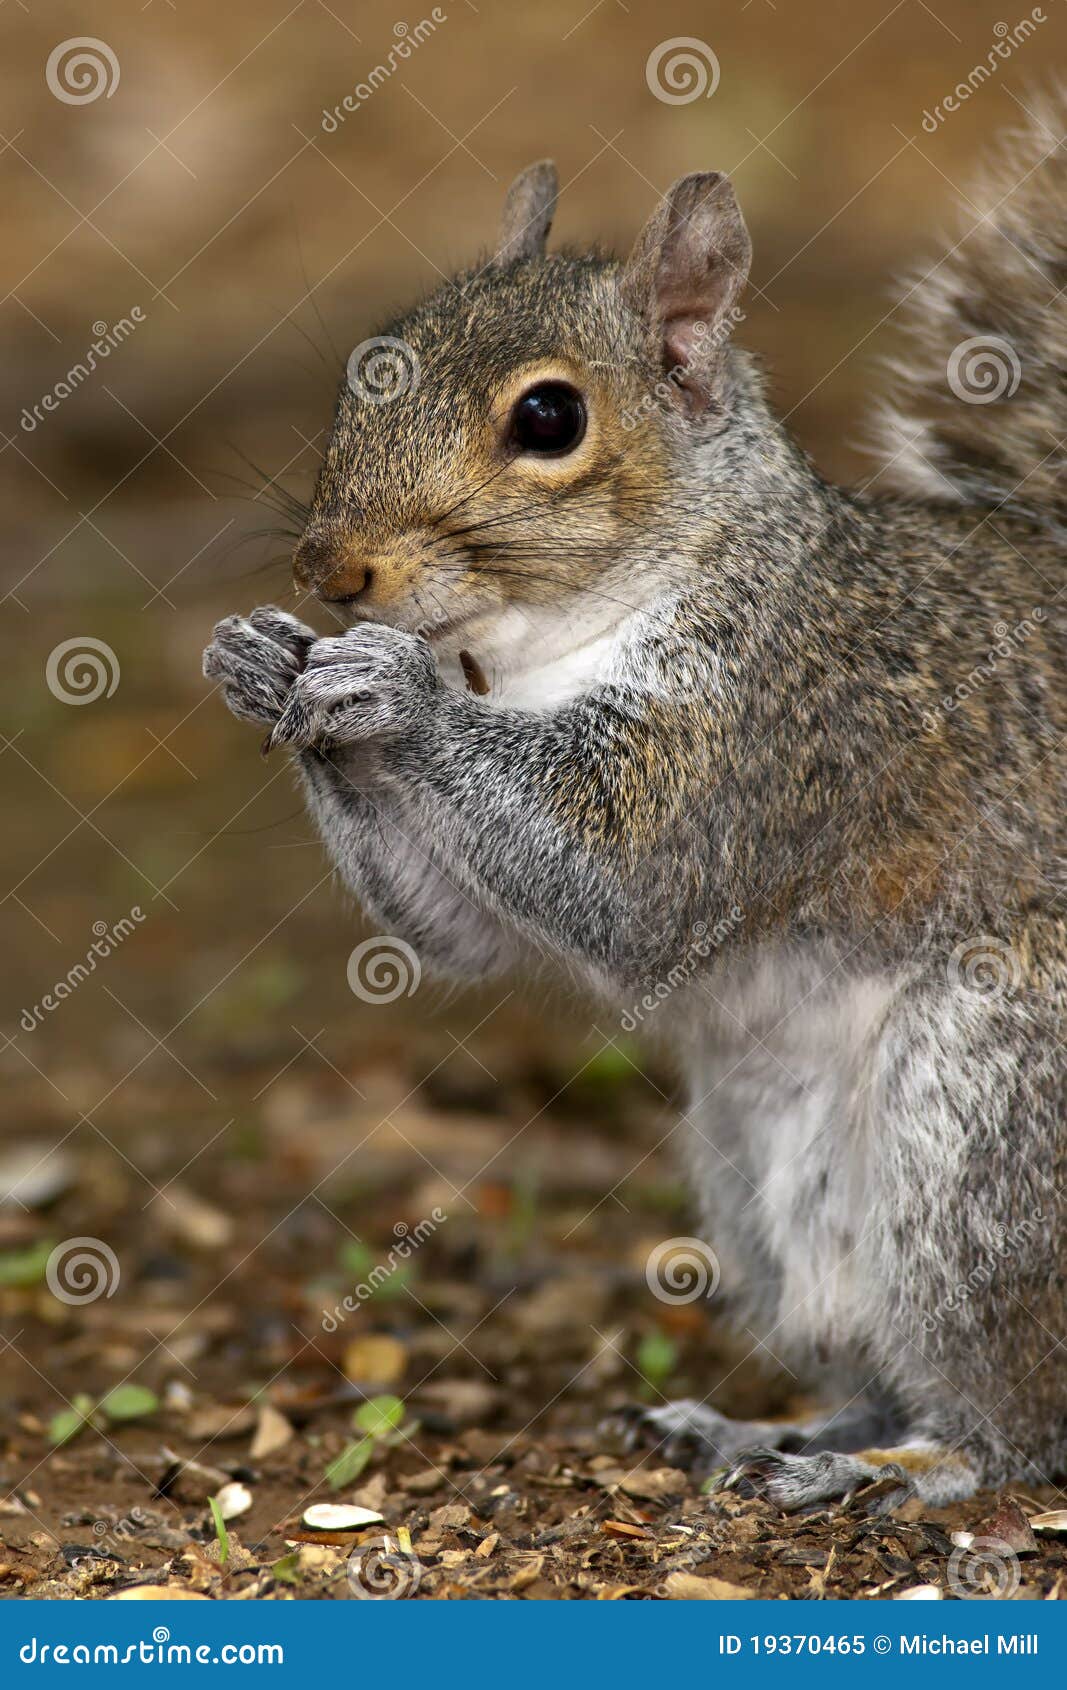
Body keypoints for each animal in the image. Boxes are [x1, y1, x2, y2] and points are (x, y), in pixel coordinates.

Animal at [204, 108, 1067, 1513]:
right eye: (360, 370)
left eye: (549, 416)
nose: (328, 569)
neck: (531, 652)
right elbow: (462, 931)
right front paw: (262, 662)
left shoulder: (774, 724)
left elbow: (627, 885)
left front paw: (393, 693)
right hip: (753, 1164)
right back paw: (768, 1430)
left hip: (991, 1117)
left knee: (1011, 1417)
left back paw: (905, 1461)